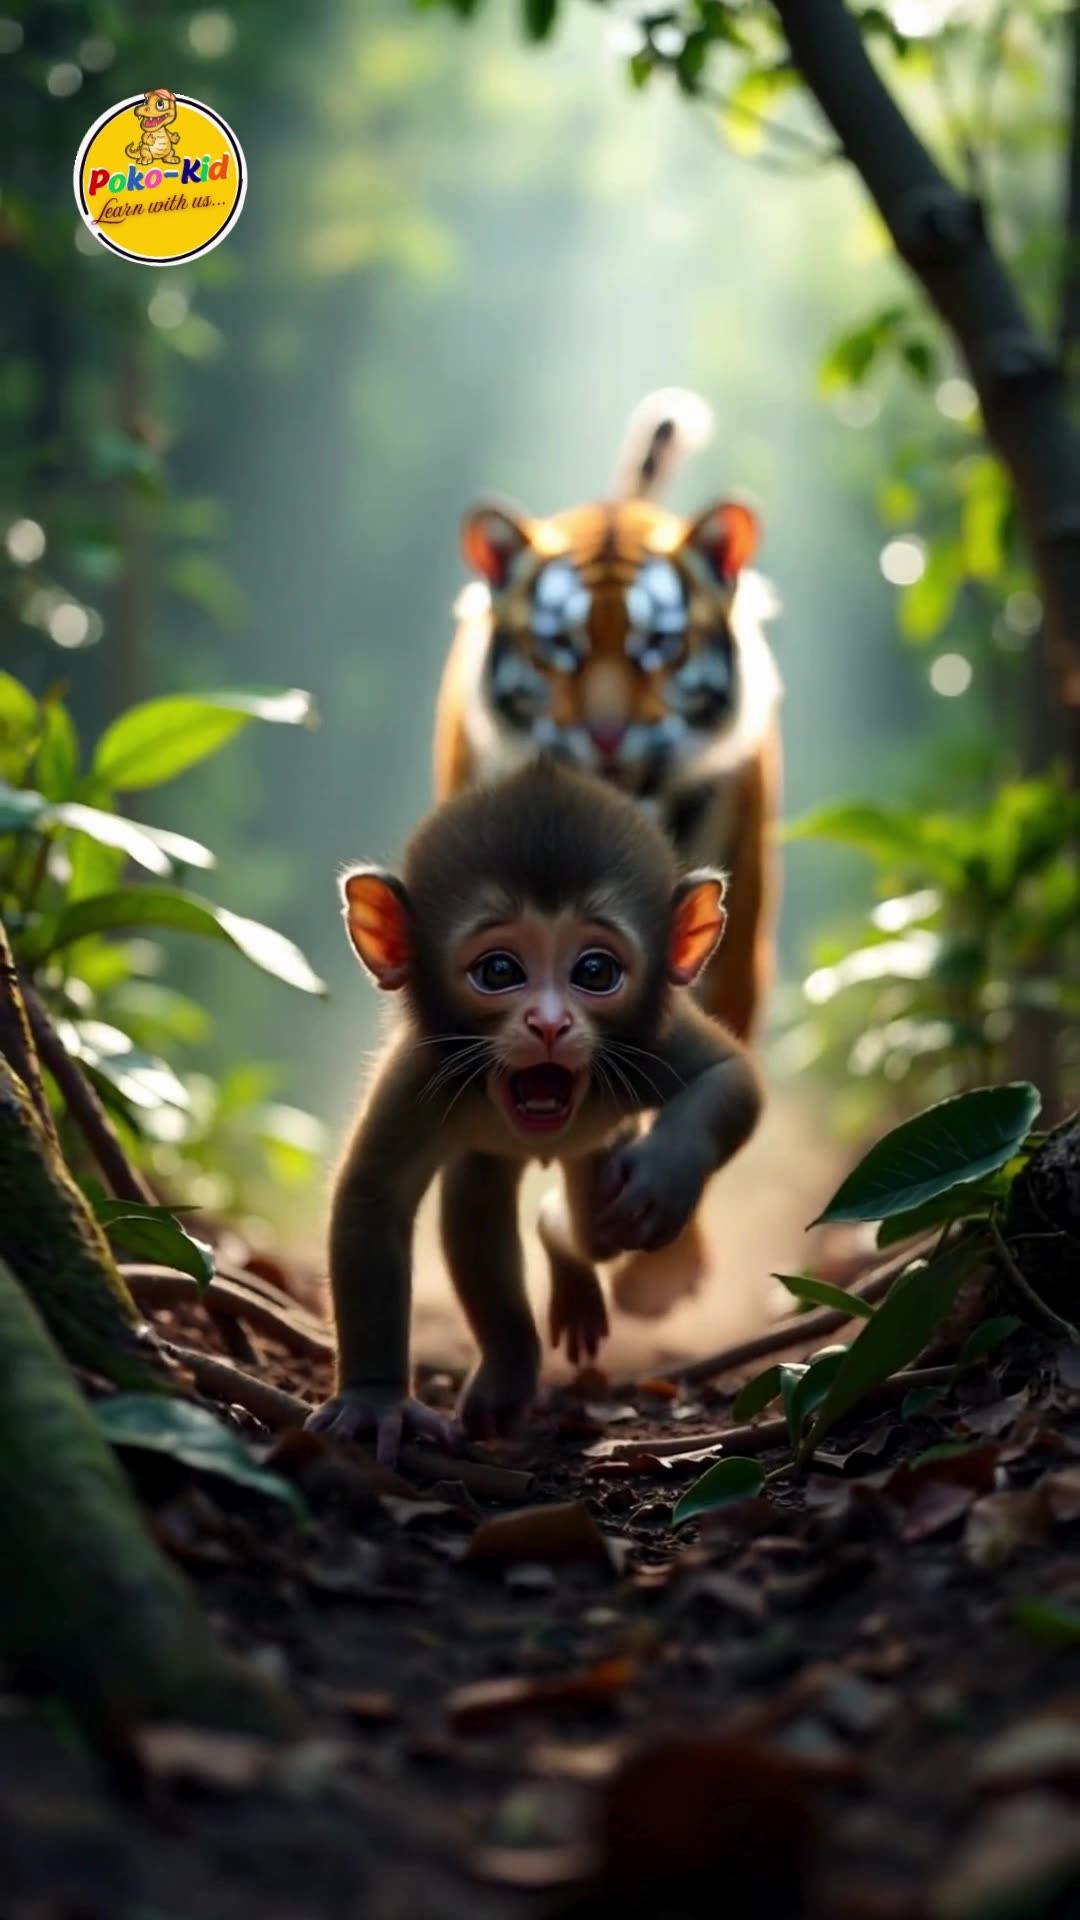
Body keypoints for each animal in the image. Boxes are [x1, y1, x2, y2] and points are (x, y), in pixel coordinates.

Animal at [306, 757, 762, 1464]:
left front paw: (664, 1174)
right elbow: (373, 1202)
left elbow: (730, 1078)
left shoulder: (650, 1043)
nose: (549, 1024)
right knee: (480, 1200)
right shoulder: (421, 1077)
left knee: (596, 1229)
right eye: (499, 971)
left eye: (595, 971)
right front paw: (374, 1401)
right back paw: (509, 1365)